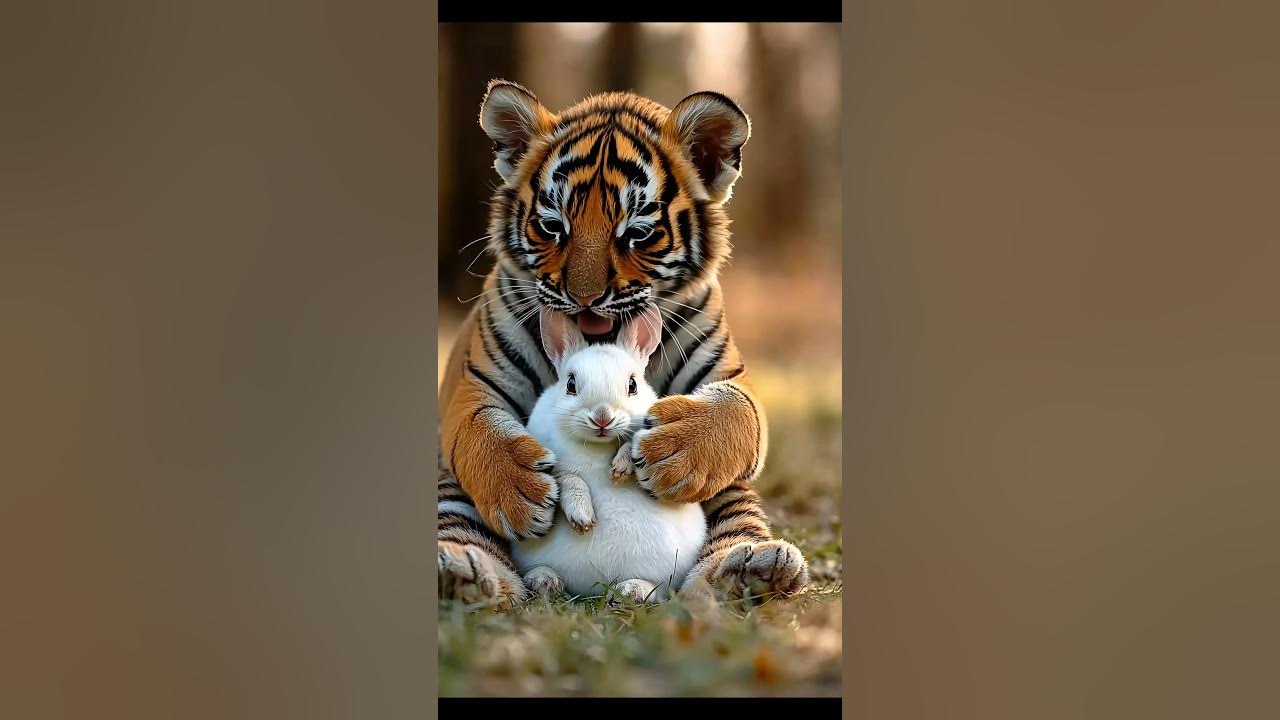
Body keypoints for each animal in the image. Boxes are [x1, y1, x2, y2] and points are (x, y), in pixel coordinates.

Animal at [512, 306, 708, 603]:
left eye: (633, 385)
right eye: (570, 384)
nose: (602, 417)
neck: (598, 445)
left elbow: (633, 446)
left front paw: (621, 468)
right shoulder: (549, 465)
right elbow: (569, 479)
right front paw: (582, 518)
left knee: (659, 590)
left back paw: (632, 590)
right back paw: (544, 580)